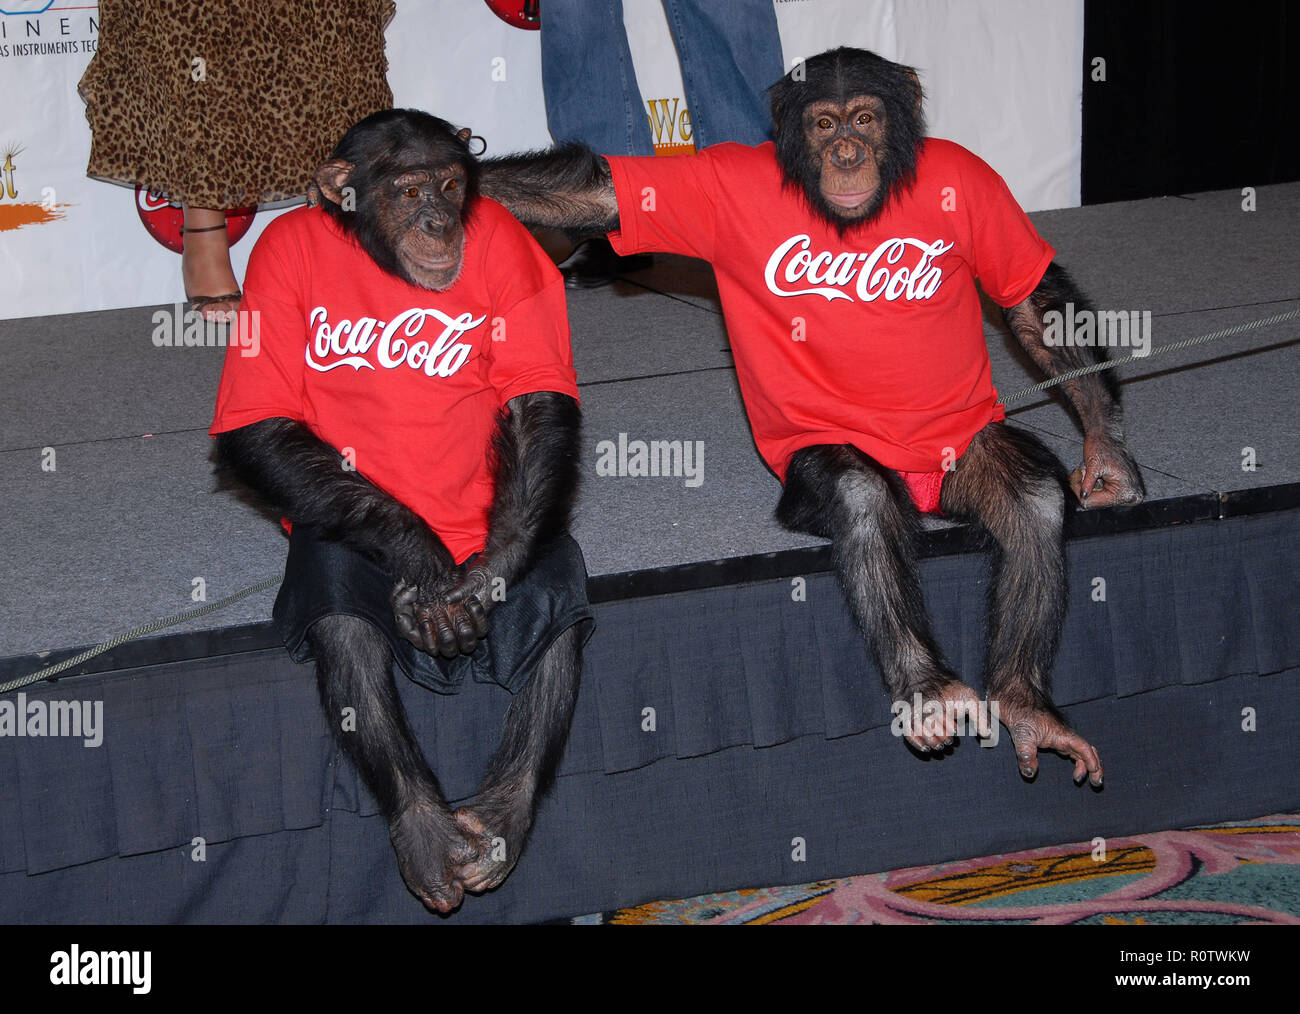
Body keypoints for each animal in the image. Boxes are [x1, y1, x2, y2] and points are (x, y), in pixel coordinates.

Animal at [210, 109, 592, 914]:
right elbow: (261, 425)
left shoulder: (515, 255)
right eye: (408, 188)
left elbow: (536, 401)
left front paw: (470, 588)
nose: (439, 220)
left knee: (554, 606)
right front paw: (423, 558)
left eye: (449, 183)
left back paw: (502, 814)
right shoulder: (271, 265)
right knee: (341, 618)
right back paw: (424, 829)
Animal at [478, 47, 1145, 786]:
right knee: (859, 493)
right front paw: (425, 172)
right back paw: (927, 690)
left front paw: (1107, 453)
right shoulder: (716, 185)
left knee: (1028, 495)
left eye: (864, 118)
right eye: (824, 123)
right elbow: (603, 194)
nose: (847, 152)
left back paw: (1025, 702)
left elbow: (1030, 301)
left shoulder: (980, 188)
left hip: (959, 450)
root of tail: (923, 493)